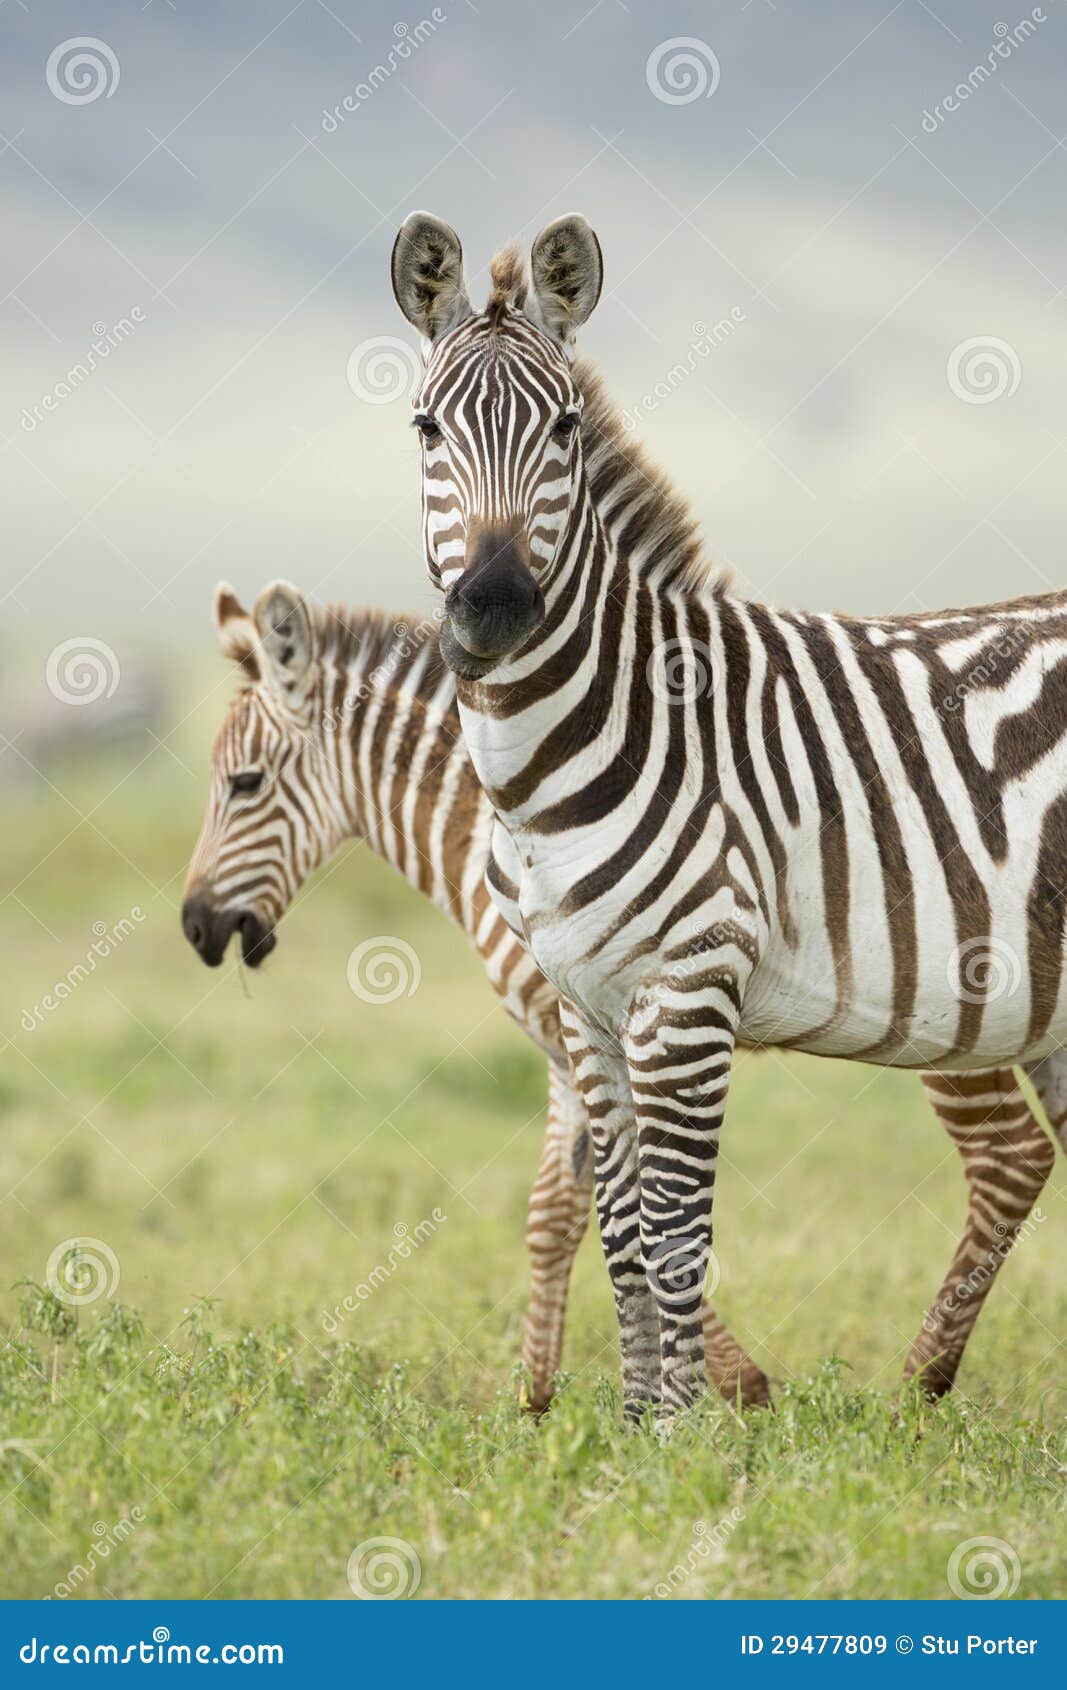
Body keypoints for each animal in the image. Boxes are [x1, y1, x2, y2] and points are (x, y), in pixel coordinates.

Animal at [183, 580, 1055, 1411]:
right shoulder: (571, 1038)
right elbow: (561, 1213)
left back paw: (918, 1387)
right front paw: (539, 1395)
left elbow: (599, 1211)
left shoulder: (588, 1019)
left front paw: (728, 1384)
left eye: (244, 784)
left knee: (1011, 1153)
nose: (196, 926)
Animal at [391, 210, 1064, 1417]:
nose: (494, 608)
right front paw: (623, 1424)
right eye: (425, 427)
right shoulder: (587, 1012)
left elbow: (675, 1235)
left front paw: (678, 1431)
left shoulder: (688, 993)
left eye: (564, 426)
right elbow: (619, 1233)